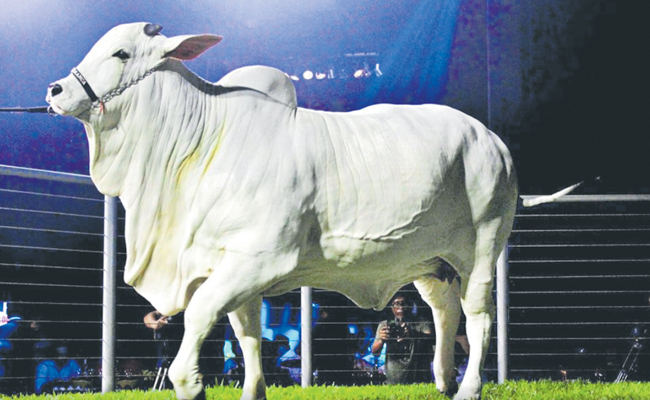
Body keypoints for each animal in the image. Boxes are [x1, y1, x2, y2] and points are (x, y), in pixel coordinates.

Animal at [44, 22, 571, 400]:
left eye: (121, 53)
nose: (55, 91)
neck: (198, 143)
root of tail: (492, 139)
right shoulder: (230, 266)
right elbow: (247, 335)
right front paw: (252, 392)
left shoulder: (258, 259)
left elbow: (199, 314)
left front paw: (189, 383)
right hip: (431, 263)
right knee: (445, 312)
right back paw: (442, 379)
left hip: (481, 247)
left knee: (478, 318)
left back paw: (468, 388)